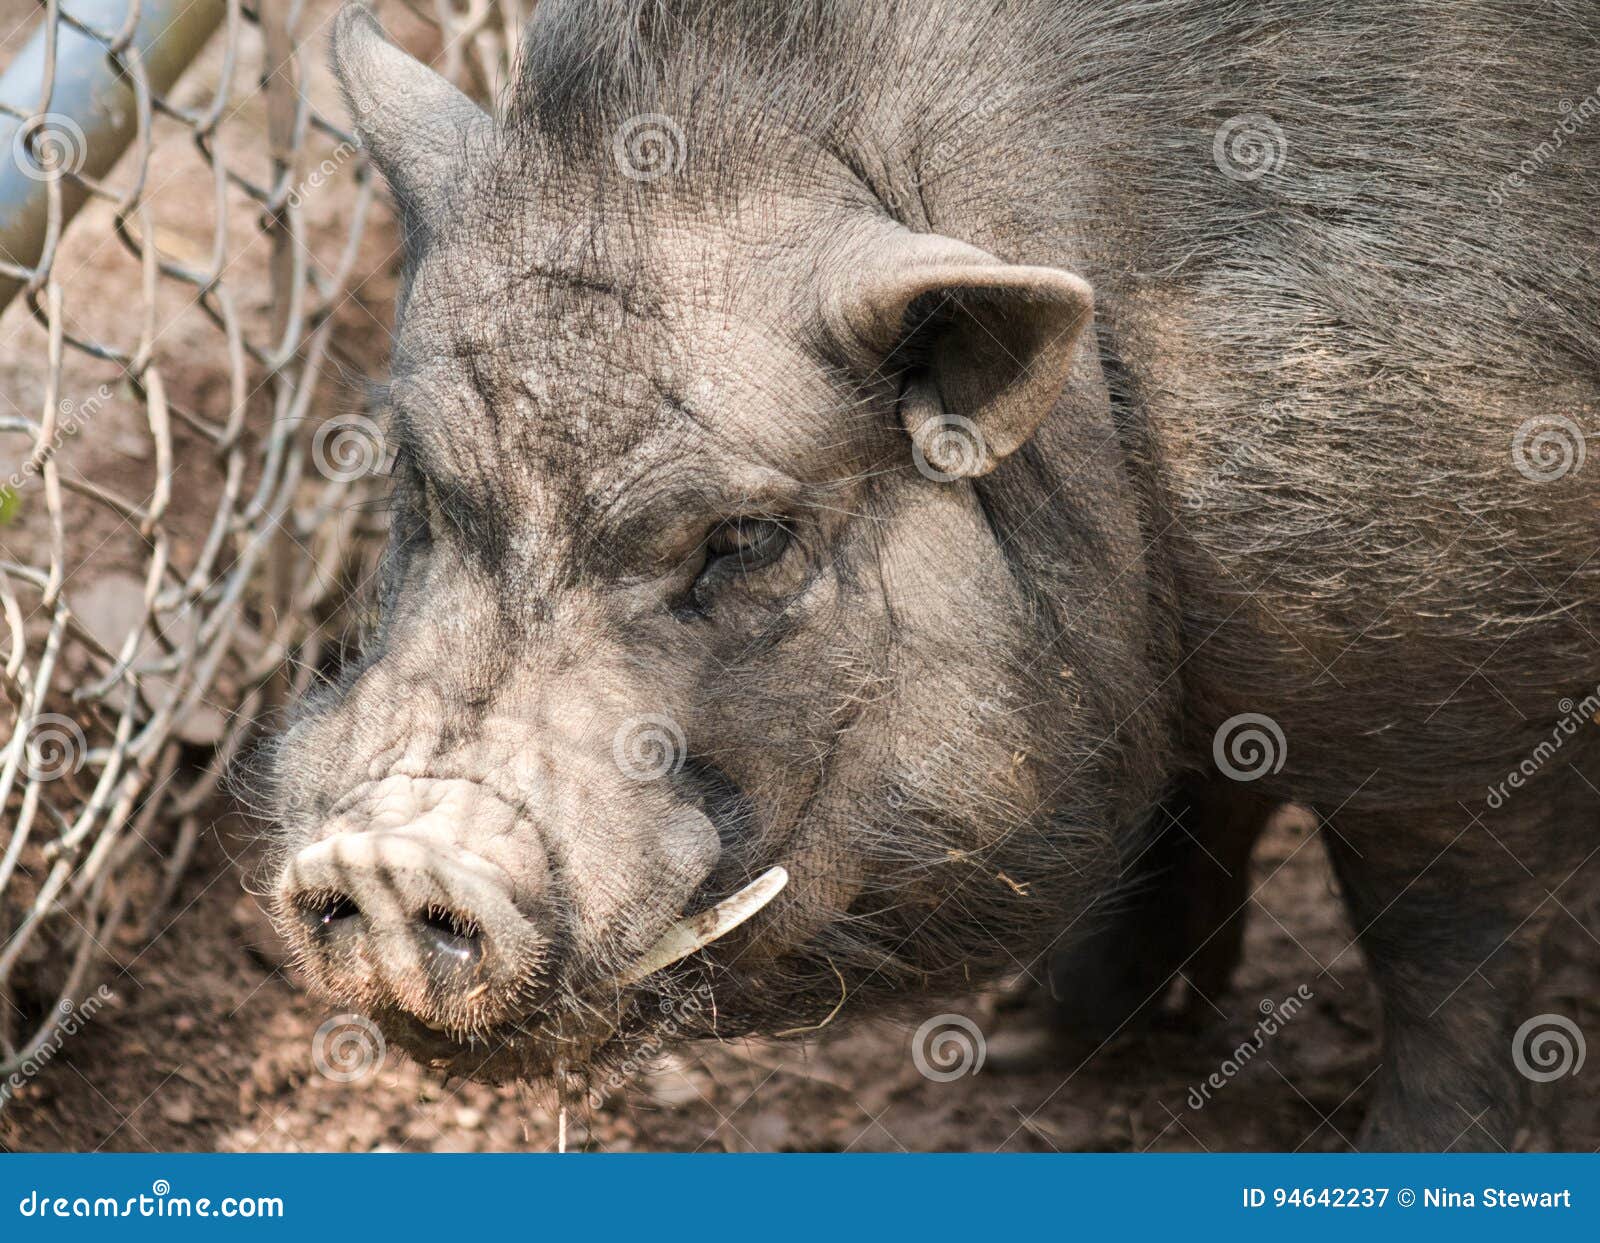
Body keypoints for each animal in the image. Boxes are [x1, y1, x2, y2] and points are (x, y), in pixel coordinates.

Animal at [259, 0, 1600, 1151]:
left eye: (744, 536)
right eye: (423, 479)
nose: (389, 857)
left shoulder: (1447, 680)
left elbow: (1440, 943)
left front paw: (1428, 1147)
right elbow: (1193, 801)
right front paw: (1045, 1037)